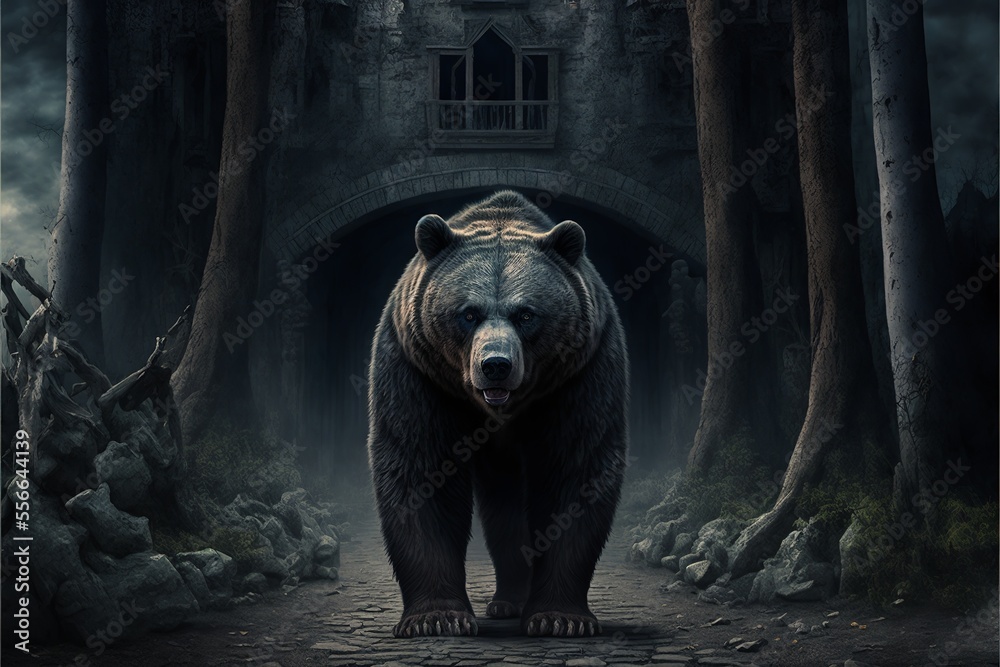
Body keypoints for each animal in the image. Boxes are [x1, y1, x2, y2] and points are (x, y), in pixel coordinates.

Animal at [367, 190, 629, 638]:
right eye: (468, 313)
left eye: (526, 314)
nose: (495, 365)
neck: (500, 409)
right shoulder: (419, 372)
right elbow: (421, 468)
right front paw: (436, 617)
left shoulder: (580, 375)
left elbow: (574, 471)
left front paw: (560, 618)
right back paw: (507, 601)